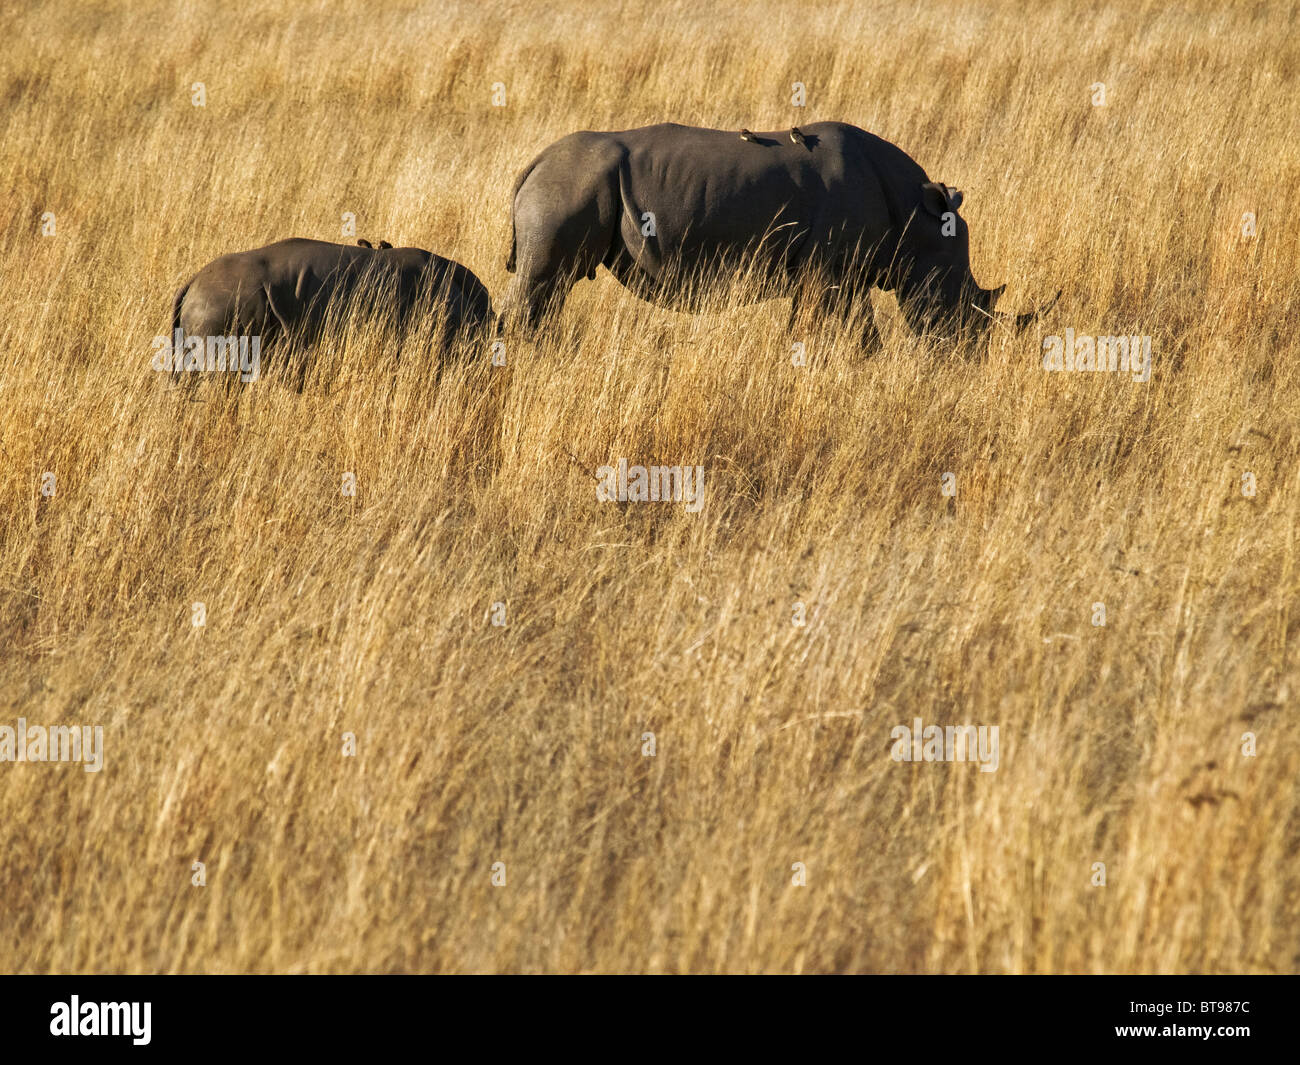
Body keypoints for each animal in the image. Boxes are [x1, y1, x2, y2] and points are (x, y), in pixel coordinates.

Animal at [502, 121, 1057, 343]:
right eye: (959, 299)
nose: (964, 357)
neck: (916, 215)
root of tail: (535, 162)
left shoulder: (819, 274)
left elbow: (810, 326)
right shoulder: (833, 272)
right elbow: (863, 335)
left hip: (567, 183)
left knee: (548, 291)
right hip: (565, 186)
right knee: (542, 283)